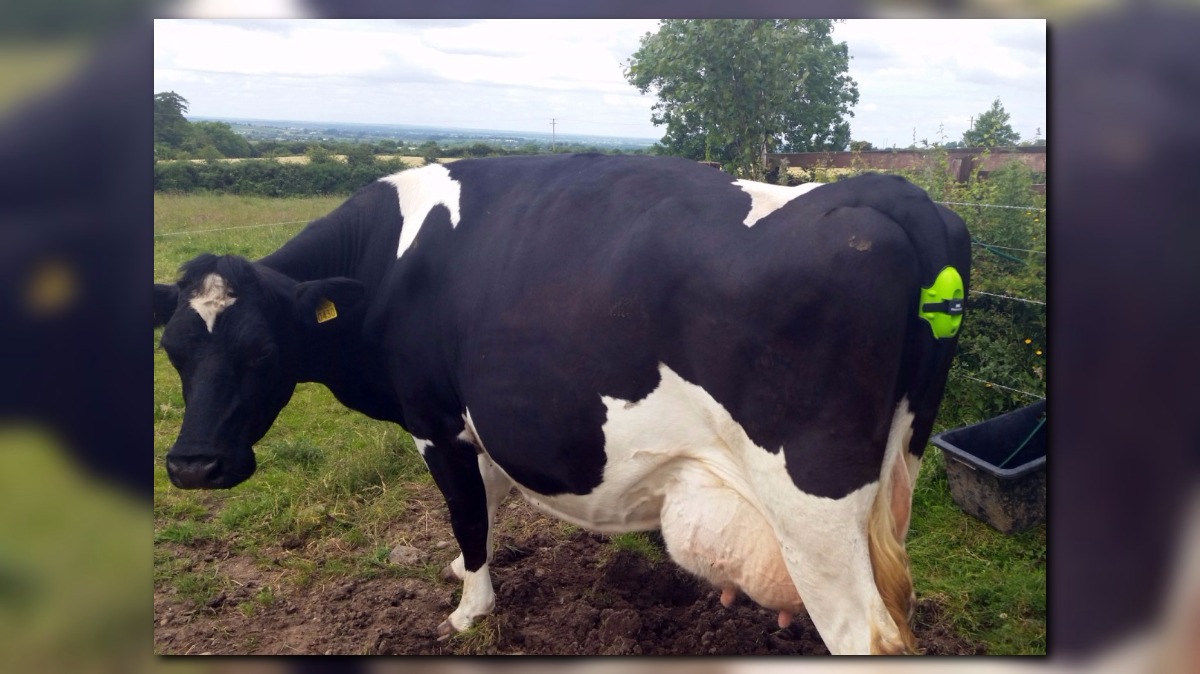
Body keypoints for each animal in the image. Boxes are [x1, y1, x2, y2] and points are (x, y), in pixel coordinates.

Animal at [152, 154, 969, 655]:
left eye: (263, 353)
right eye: (173, 350)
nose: (192, 466)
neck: (389, 259)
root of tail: (888, 193)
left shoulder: (435, 420)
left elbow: (468, 510)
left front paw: (469, 611)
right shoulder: (470, 423)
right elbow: (481, 504)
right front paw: (461, 573)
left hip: (811, 501)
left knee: (866, 634)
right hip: (893, 481)